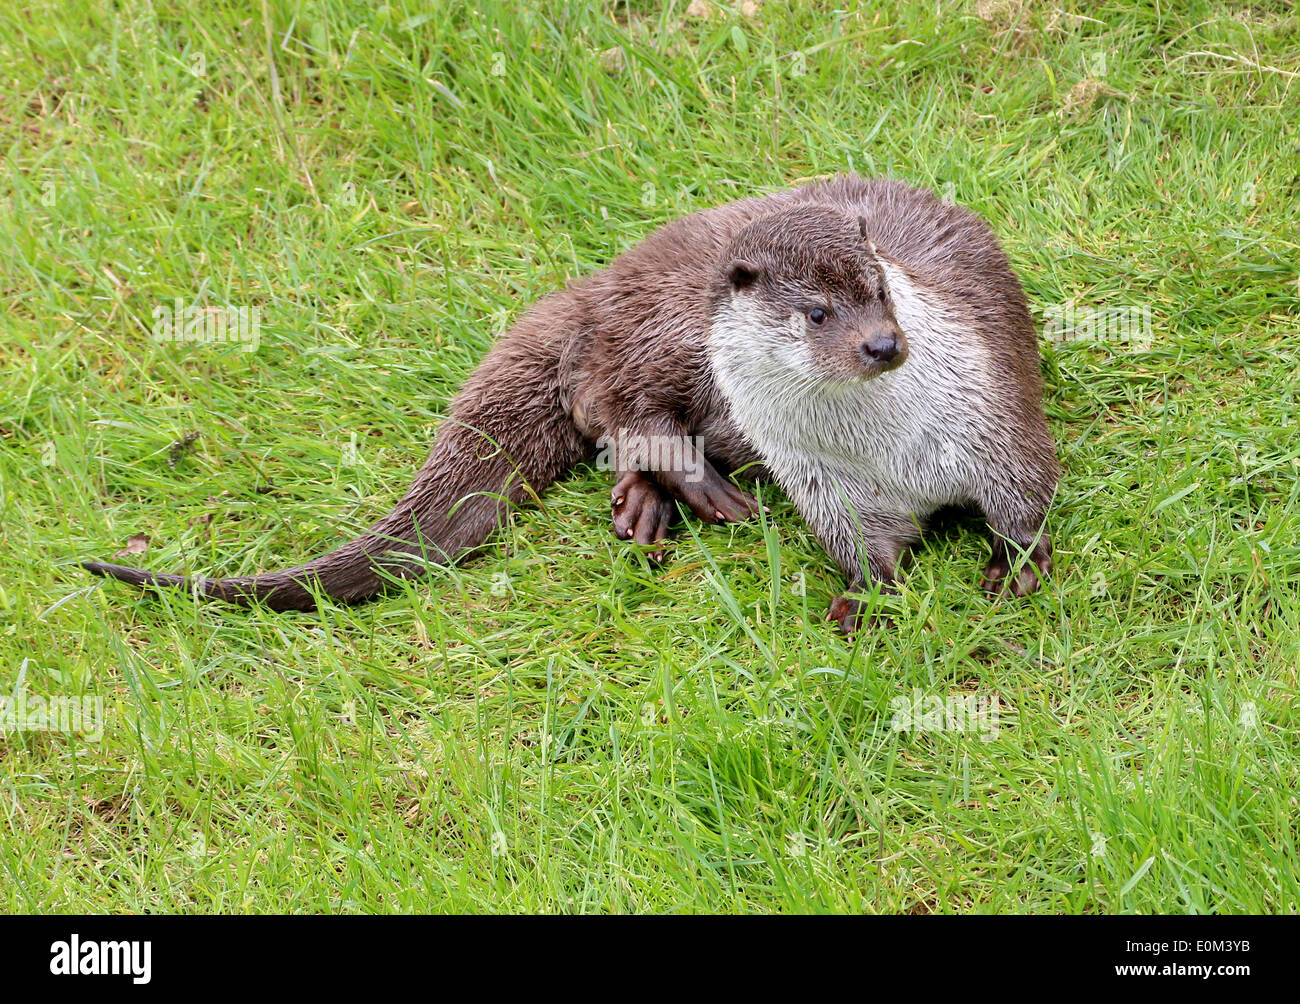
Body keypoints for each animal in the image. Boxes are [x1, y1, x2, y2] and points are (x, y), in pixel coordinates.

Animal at [82, 175, 1059, 634]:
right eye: (818, 313)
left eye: (881, 289)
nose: (883, 346)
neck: (884, 449)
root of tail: (601, 281)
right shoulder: (824, 484)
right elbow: (860, 549)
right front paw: (865, 599)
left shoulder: (991, 416)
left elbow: (1026, 493)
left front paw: (1013, 567)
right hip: (666, 322)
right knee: (606, 397)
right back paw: (671, 490)